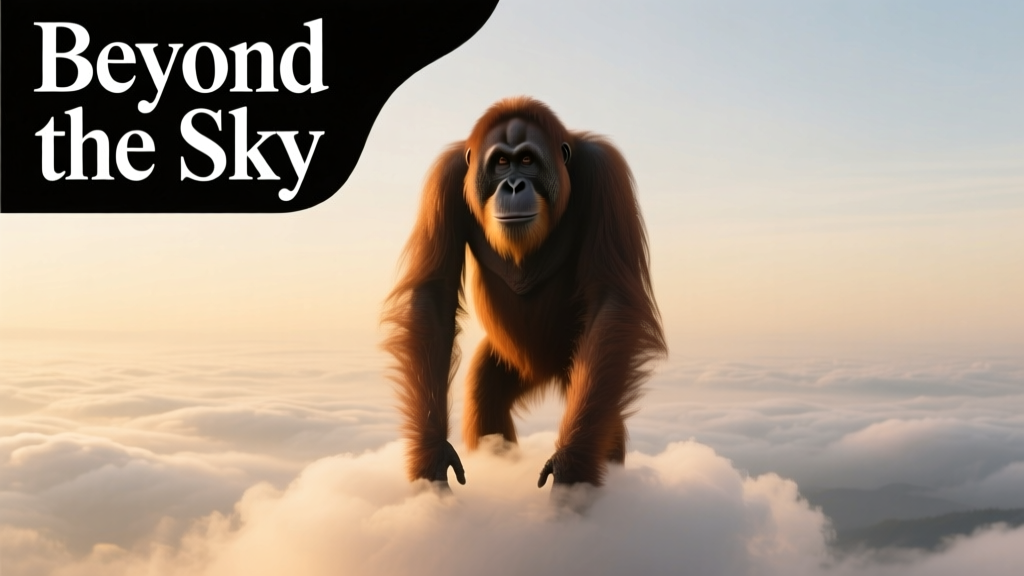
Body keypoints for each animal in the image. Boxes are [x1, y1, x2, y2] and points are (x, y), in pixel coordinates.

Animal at [383, 96, 665, 489]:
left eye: (528, 161)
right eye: (501, 162)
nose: (514, 185)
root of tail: (547, 371)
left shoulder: (605, 170)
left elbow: (613, 299)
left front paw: (569, 466)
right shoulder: (445, 177)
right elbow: (433, 294)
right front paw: (432, 455)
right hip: (512, 358)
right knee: (486, 396)